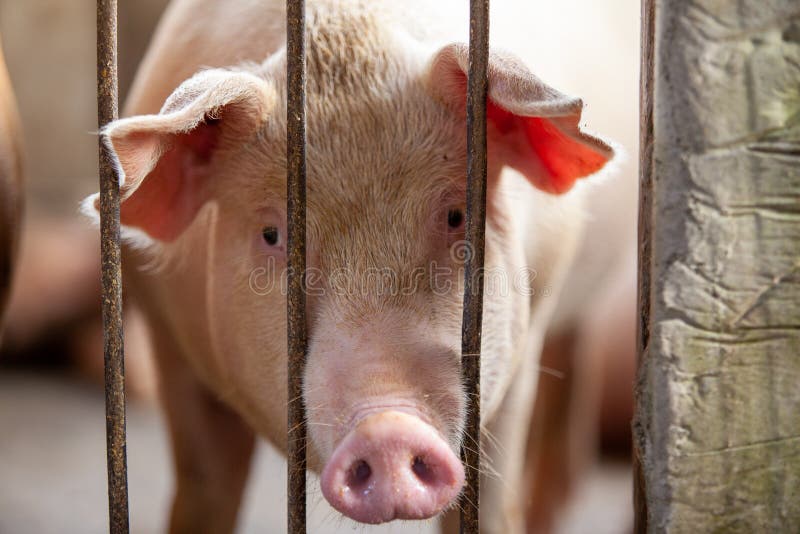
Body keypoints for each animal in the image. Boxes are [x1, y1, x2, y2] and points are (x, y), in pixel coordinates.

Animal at [82, 0, 624, 531]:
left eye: (457, 216)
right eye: (272, 234)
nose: (388, 431)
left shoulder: (525, 337)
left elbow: (489, 504)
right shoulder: (167, 335)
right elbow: (206, 489)